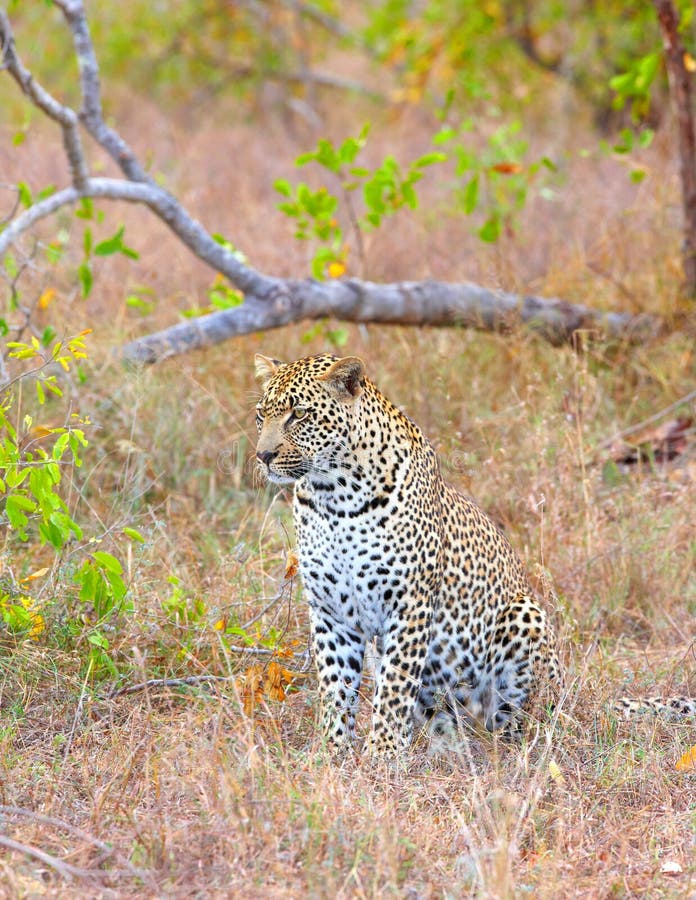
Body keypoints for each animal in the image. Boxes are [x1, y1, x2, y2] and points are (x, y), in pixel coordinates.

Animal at [254, 352, 695, 755]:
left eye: (299, 414)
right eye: (261, 415)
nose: (263, 456)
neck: (332, 495)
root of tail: (567, 698)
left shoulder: (409, 604)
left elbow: (393, 691)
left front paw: (382, 756)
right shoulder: (330, 611)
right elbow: (337, 688)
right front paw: (334, 755)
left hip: (525, 620)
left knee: (518, 724)